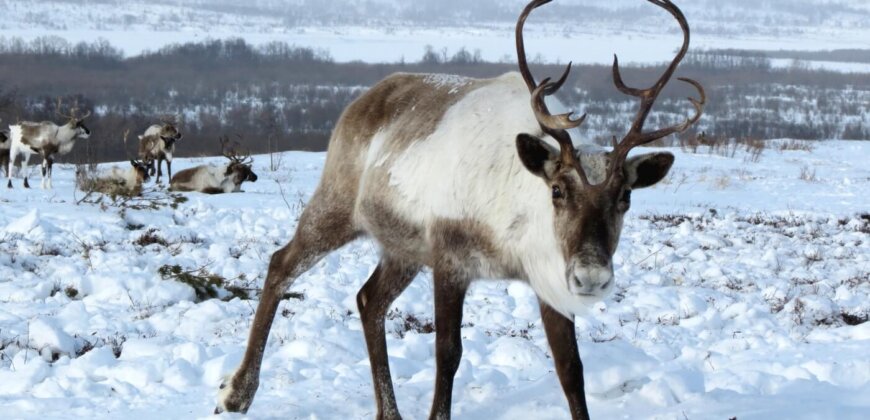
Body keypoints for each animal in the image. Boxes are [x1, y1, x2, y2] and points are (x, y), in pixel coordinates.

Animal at [215, 0, 704, 418]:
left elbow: (571, 369)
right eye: (558, 190)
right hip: (337, 205)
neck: (513, 234)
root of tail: (365, 97)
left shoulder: (547, 278)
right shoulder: (450, 260)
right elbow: (447, 352)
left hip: (404, 248)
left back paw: (388, 413)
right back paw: (237, 393)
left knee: (369, 300)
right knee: (281, 264)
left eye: (625, 197)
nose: (591, 278)